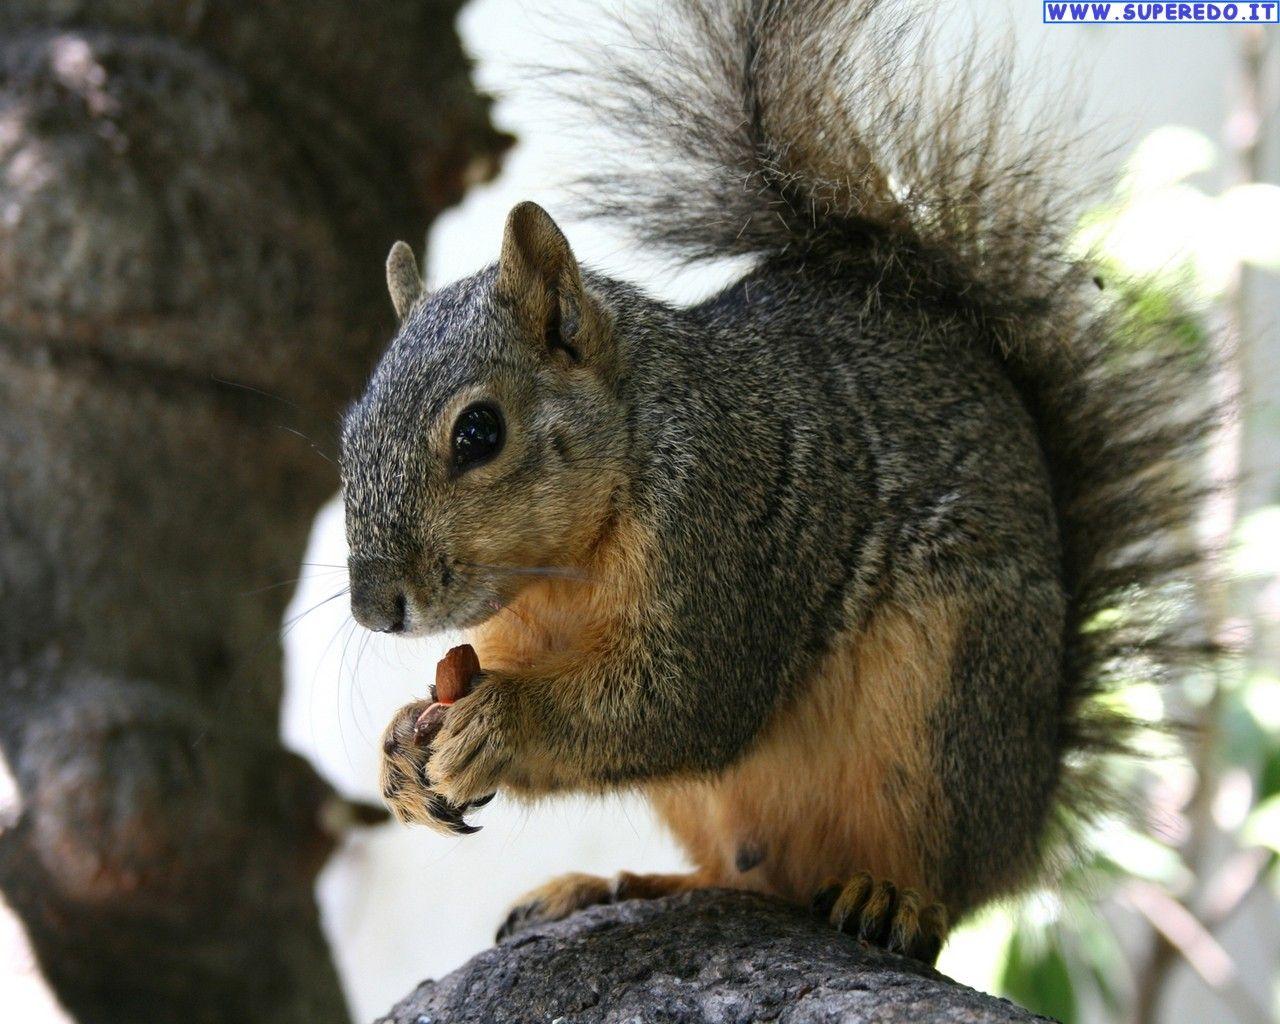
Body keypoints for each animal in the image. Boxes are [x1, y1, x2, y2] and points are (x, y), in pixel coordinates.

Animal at [341, 0, 1210, 963]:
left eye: (479, 432)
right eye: (347, 433)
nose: (375, 607)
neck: (565, 568)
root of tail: (1027, 812)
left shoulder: (724, 535)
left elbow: (684, 702)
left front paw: (498, 725)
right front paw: (397, 752)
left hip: (946, 707)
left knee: (939, 880)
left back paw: (894, 898)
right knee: (745, 876)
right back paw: (609, 885)